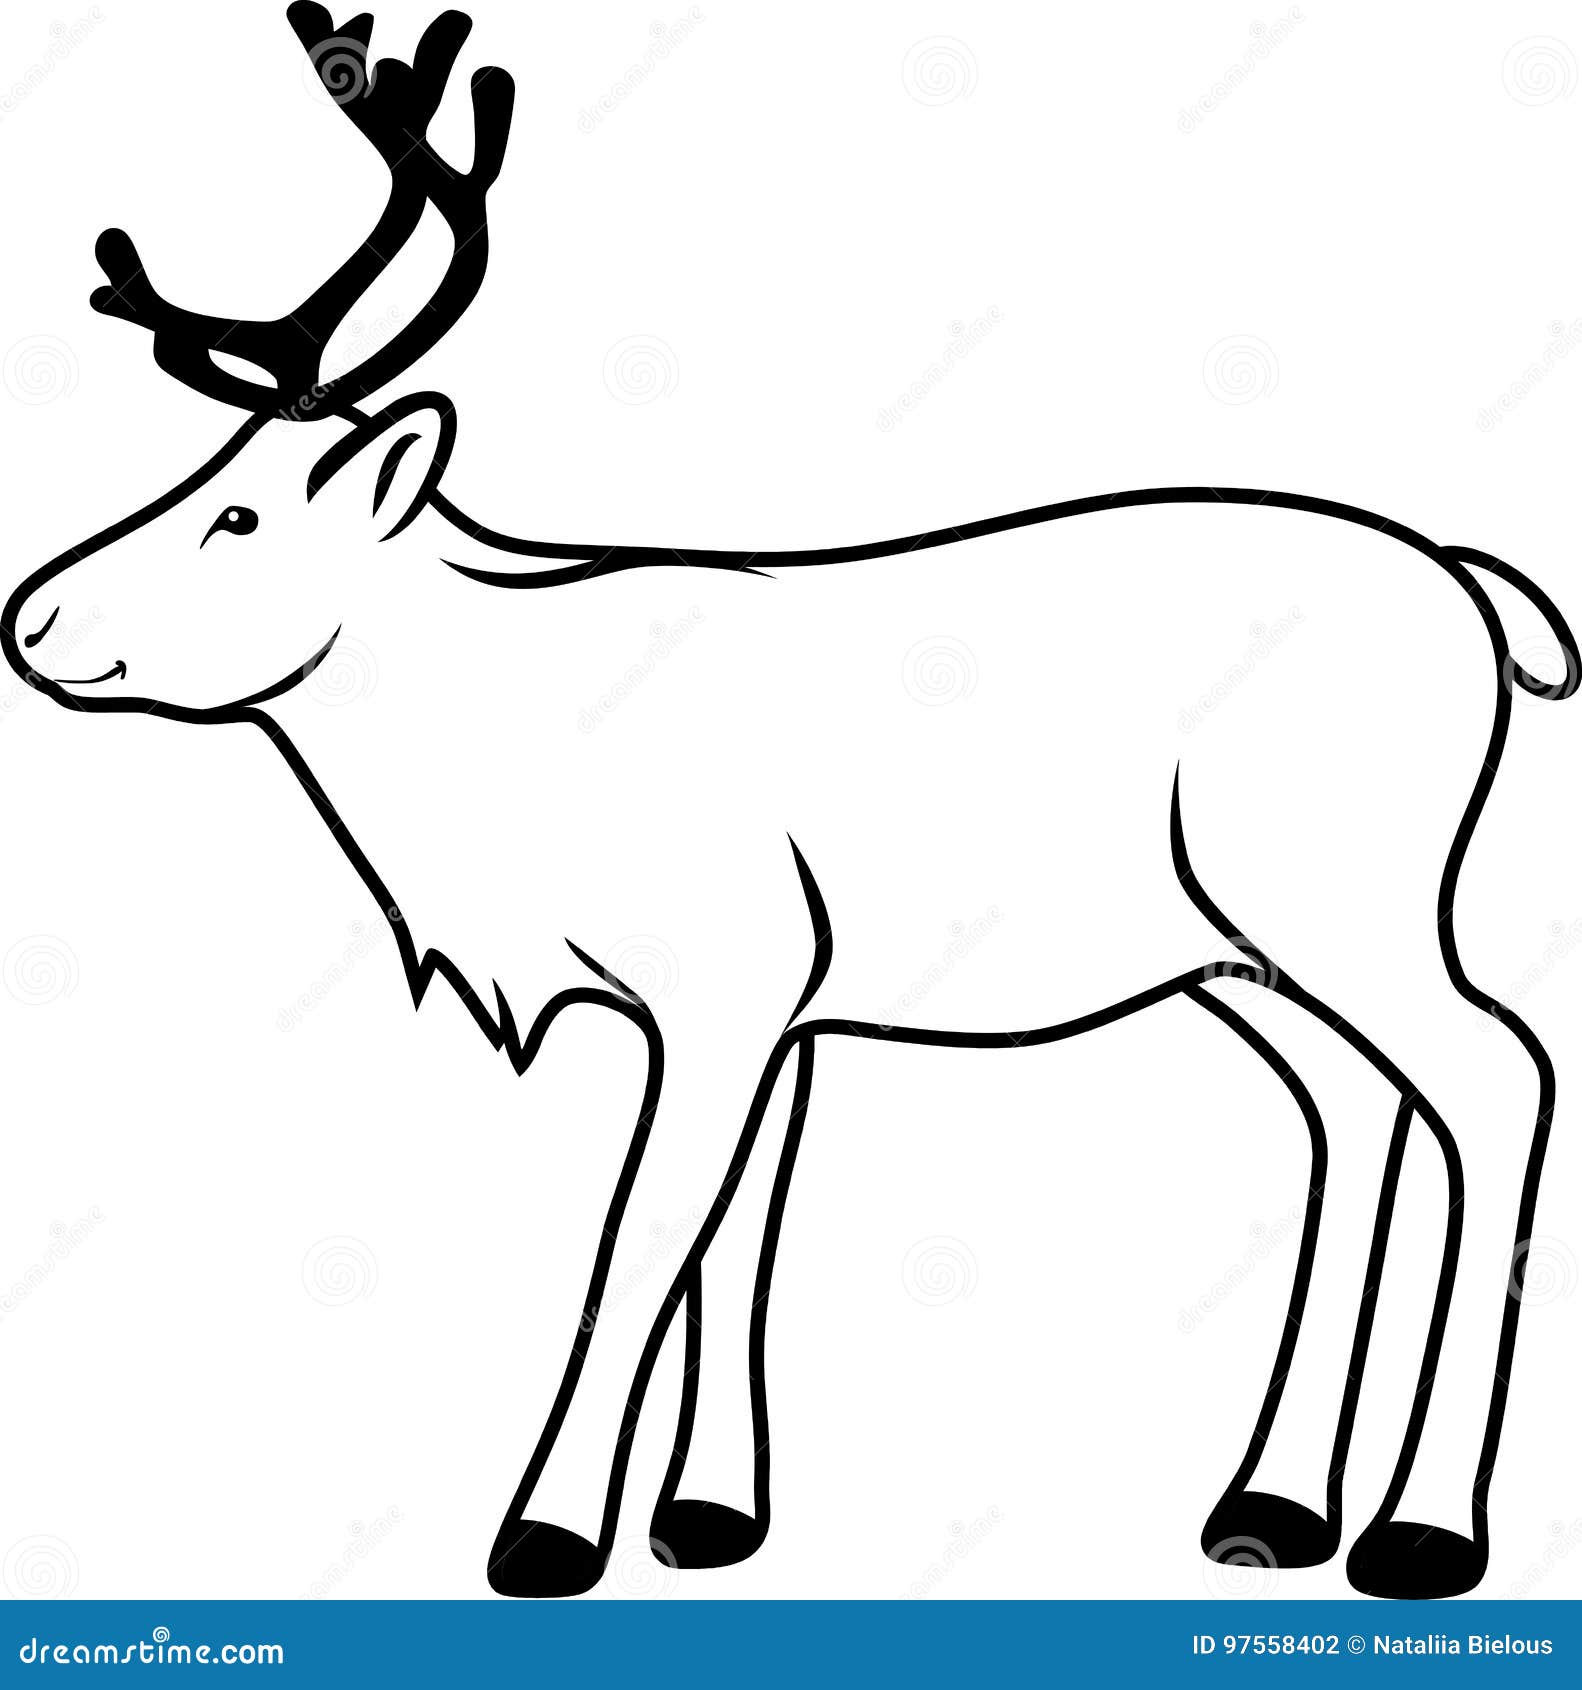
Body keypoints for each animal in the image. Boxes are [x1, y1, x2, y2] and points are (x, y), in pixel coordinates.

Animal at [4, 5, 1577, 1602]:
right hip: (1226, 947)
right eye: (199, 472)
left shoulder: (729, 971)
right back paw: (1268, 1505)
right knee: (1352, 1103)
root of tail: (1477, 591)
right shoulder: (786, 1003)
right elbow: (739, 1229)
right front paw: (708, 1514)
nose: (36, 617)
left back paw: (1421, 1529)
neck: (501, 778)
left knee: (1496, 1068)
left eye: (241, 514)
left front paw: (547, 1531)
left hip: (1345, 893)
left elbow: (645, 1230)